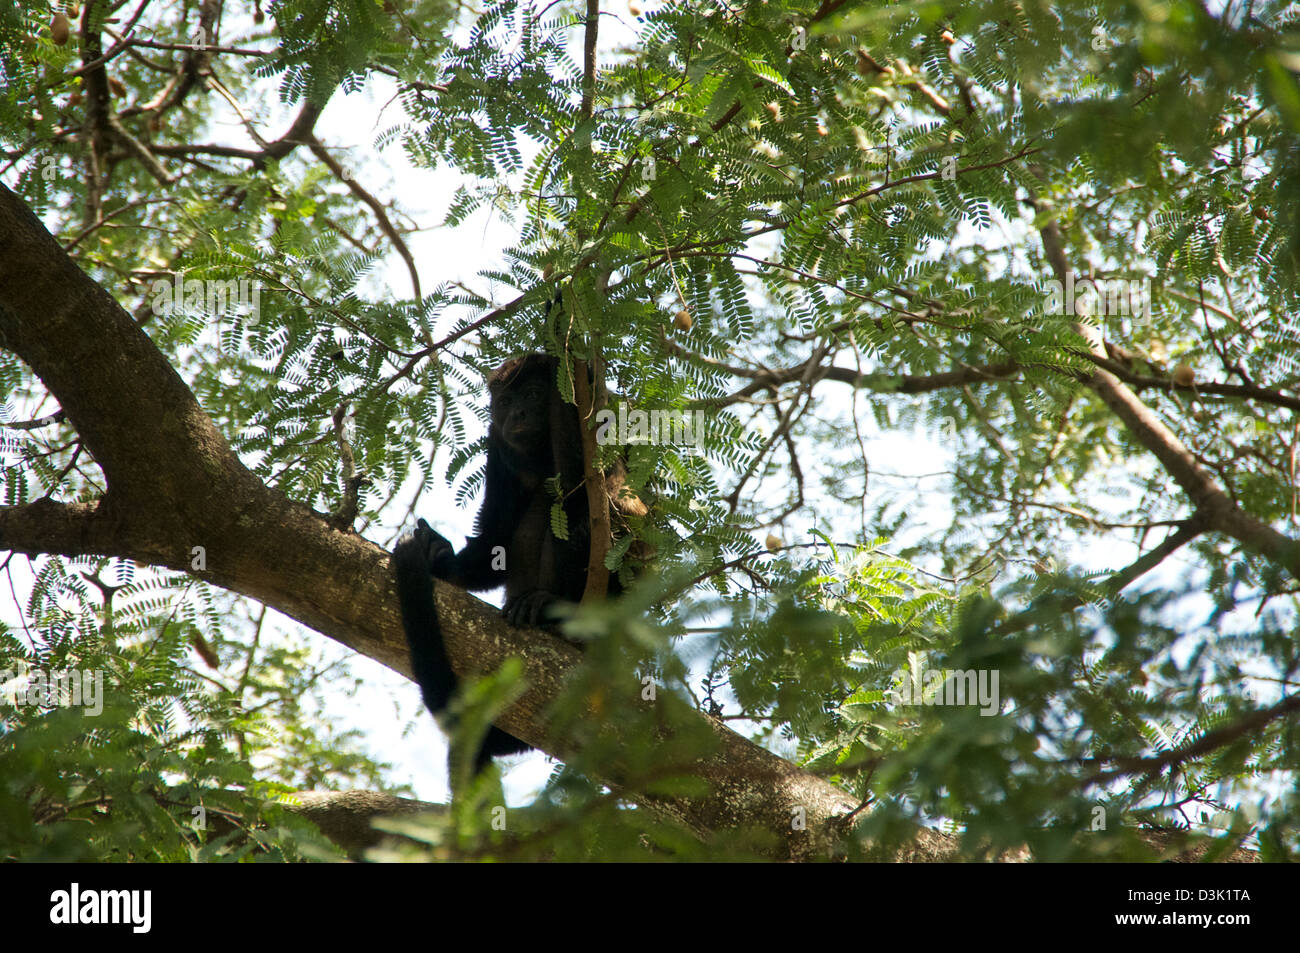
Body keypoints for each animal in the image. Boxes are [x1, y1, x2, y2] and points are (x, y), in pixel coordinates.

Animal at [392, 353, 647, 772]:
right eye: (507, 402)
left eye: (532, 395)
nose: (518, 414)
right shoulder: (497, 443)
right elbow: (498, 526)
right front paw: (443, 560)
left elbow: (591, 486)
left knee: (580, 511)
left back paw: (557, 608)